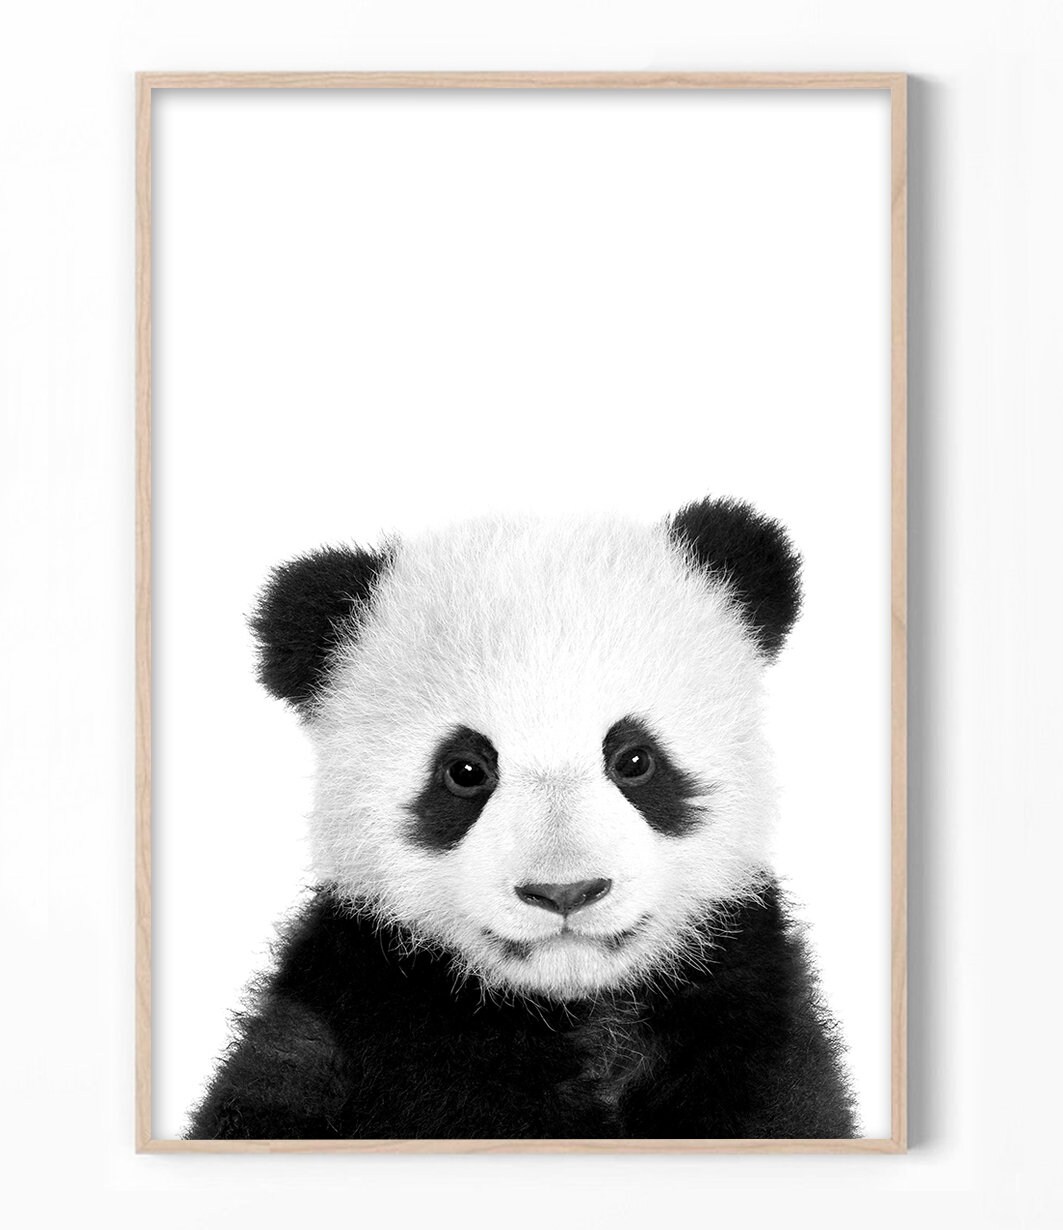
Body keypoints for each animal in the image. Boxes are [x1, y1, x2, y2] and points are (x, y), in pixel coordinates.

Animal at [187, 496, 856, 1140]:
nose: (565, 892)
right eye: (464, 770)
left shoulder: (751, 1020)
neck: (574, 1008)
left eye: (635, 759)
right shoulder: (345, 1014)